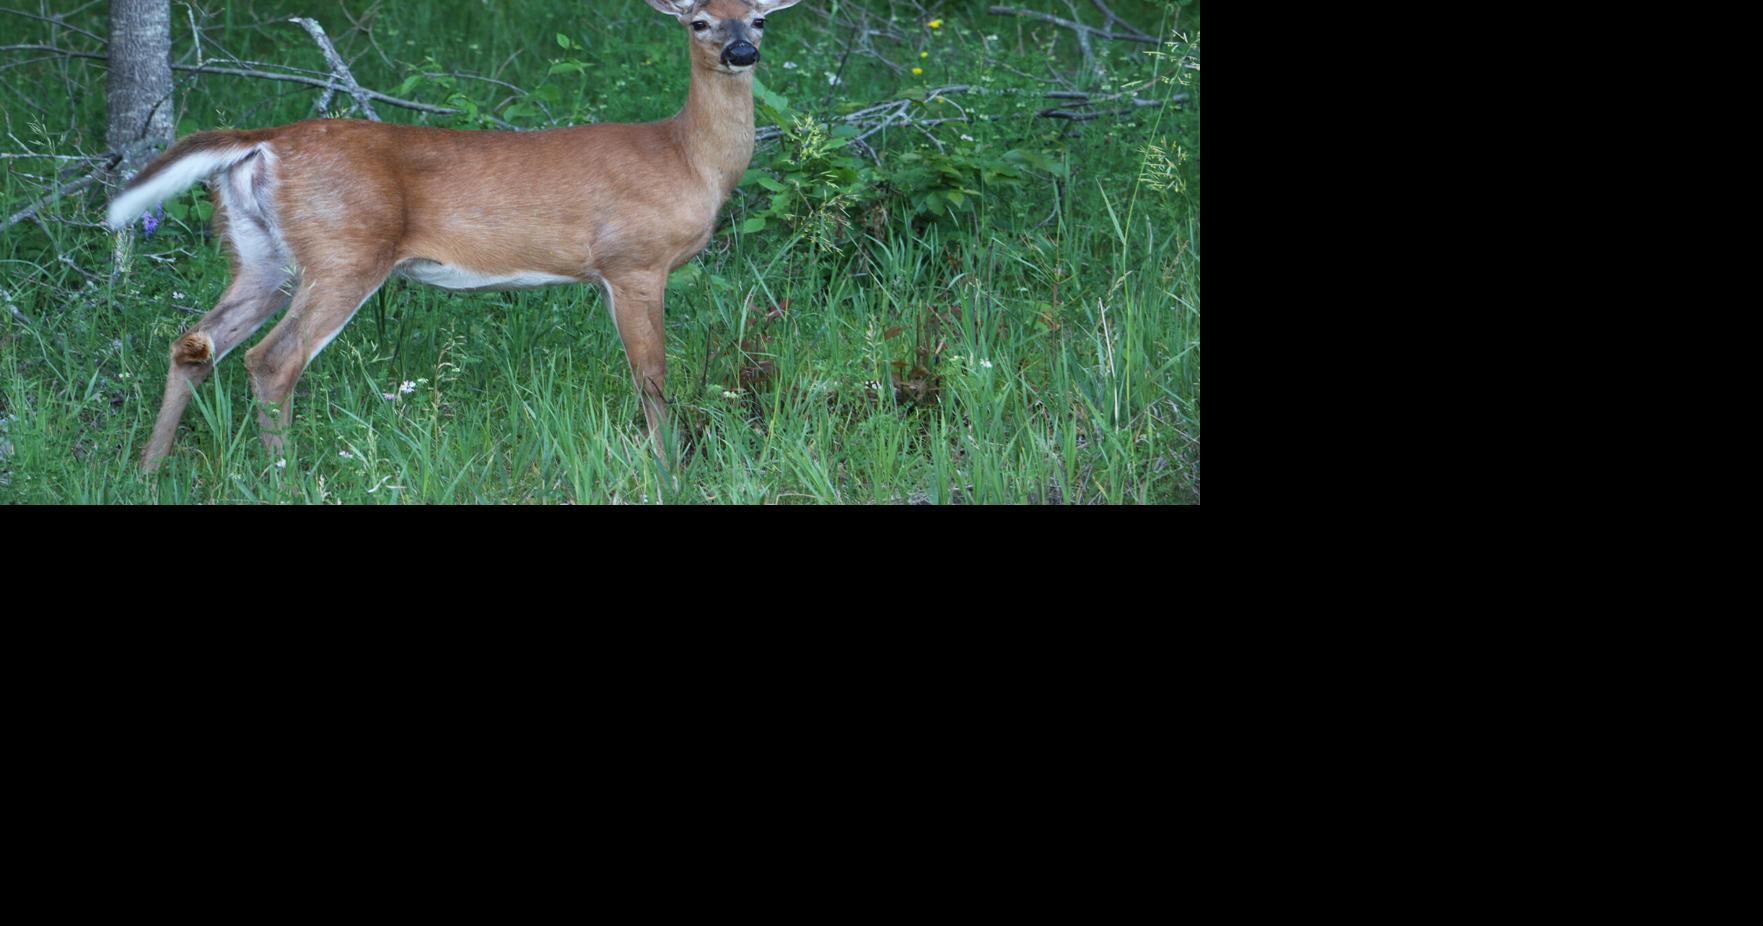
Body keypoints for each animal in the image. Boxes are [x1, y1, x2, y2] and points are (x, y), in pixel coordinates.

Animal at [106, 0, 803, 472]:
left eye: (758, 20)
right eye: (700, 22)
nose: (742, 53)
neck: (687, 160)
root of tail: (265, 142)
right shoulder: (633, 259)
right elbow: (652, 373)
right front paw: (666, 466)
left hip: (261, 256)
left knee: (194, 343)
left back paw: (147, 469)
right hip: (345, 250)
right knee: (273, 359)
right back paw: (284, 474)